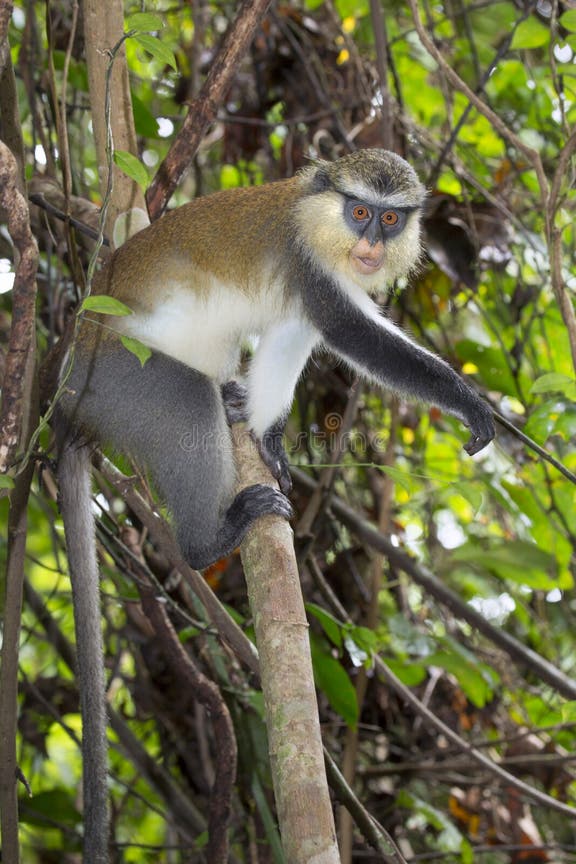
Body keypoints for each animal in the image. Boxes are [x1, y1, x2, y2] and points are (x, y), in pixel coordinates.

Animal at [54, 149, 495, 861]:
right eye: (361, 210)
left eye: (391, 218)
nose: (374, 245)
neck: (319, 220)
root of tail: (66, 400)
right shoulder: (311, 269)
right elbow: (348, 332)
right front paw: (469, 402)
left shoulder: (308, 291)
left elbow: (296, 331)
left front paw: (267, 433)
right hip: (124, 380)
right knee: (186, 403)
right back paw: (209, 539)